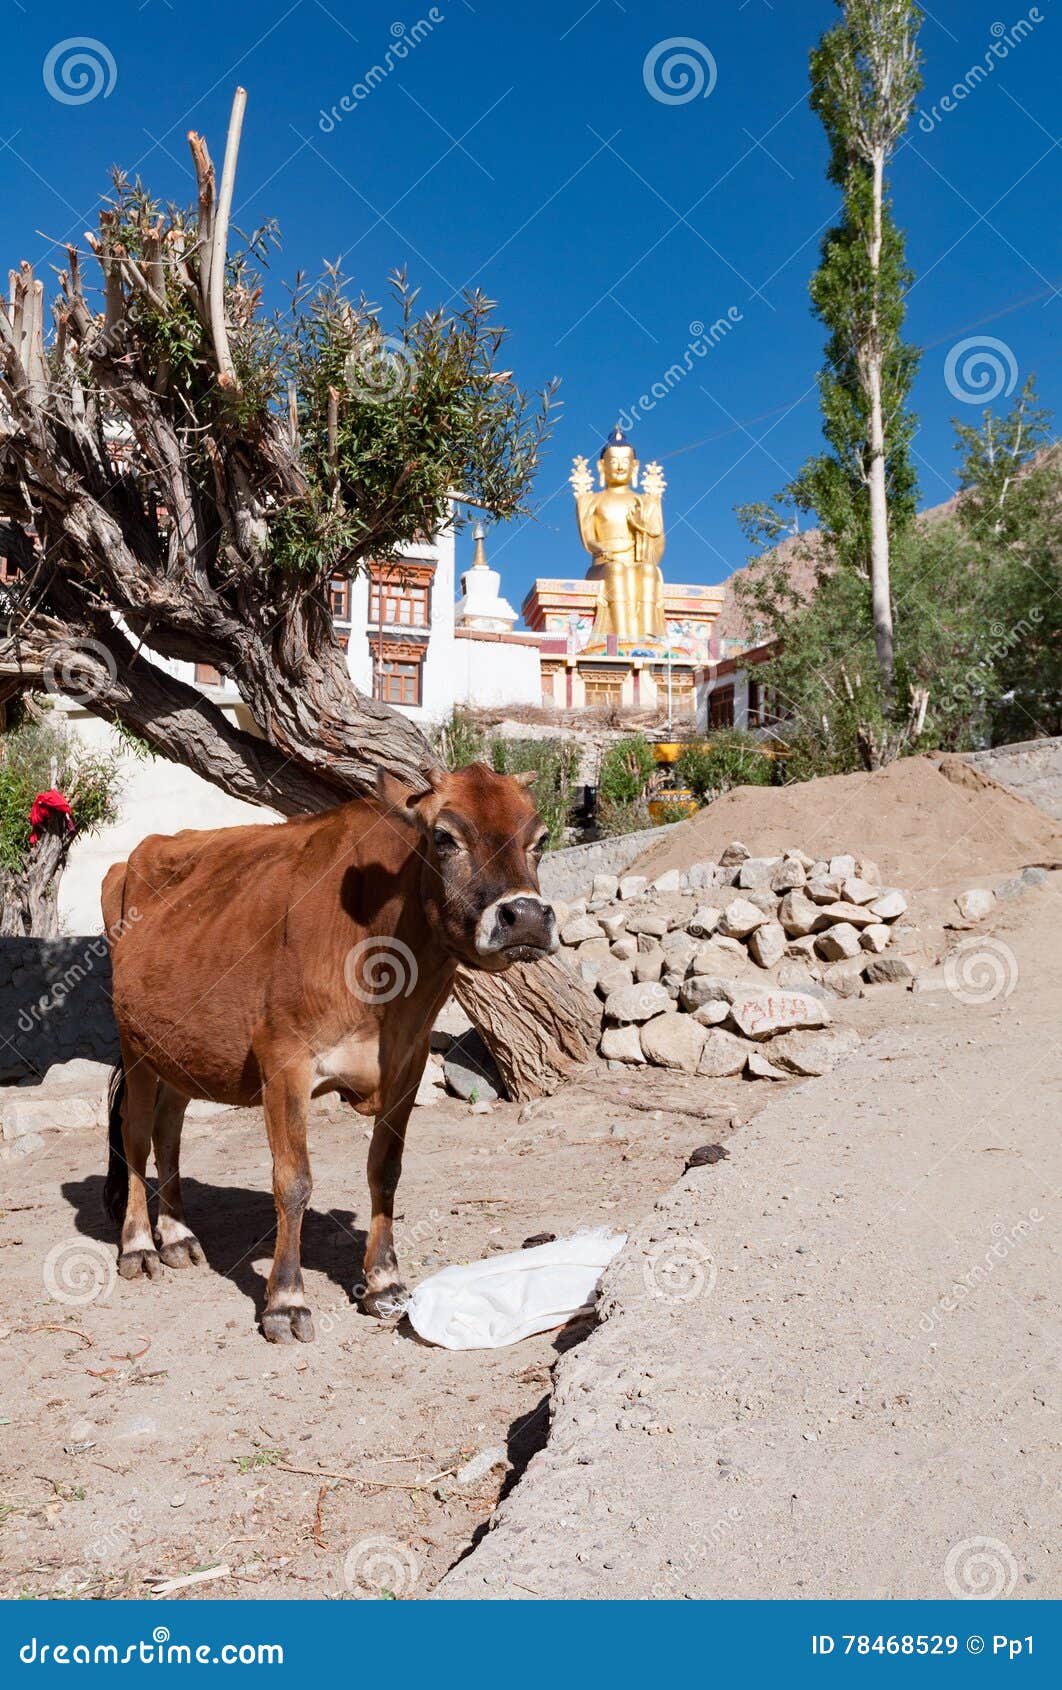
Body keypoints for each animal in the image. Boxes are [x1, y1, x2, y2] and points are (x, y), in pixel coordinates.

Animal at [100, 762, 557, 1343]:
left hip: (181, 1049)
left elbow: (385, 1169)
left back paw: (178, 1236)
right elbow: (293, 1182)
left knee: (168, 1130)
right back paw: (138, 1246)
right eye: (444, 837)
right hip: (133, 1042)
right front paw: (285, 1302)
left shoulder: (407, 1065)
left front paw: (383, 1282)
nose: (526, 916)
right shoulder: (284, 1062)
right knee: (135, 1135)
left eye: (539, 839)